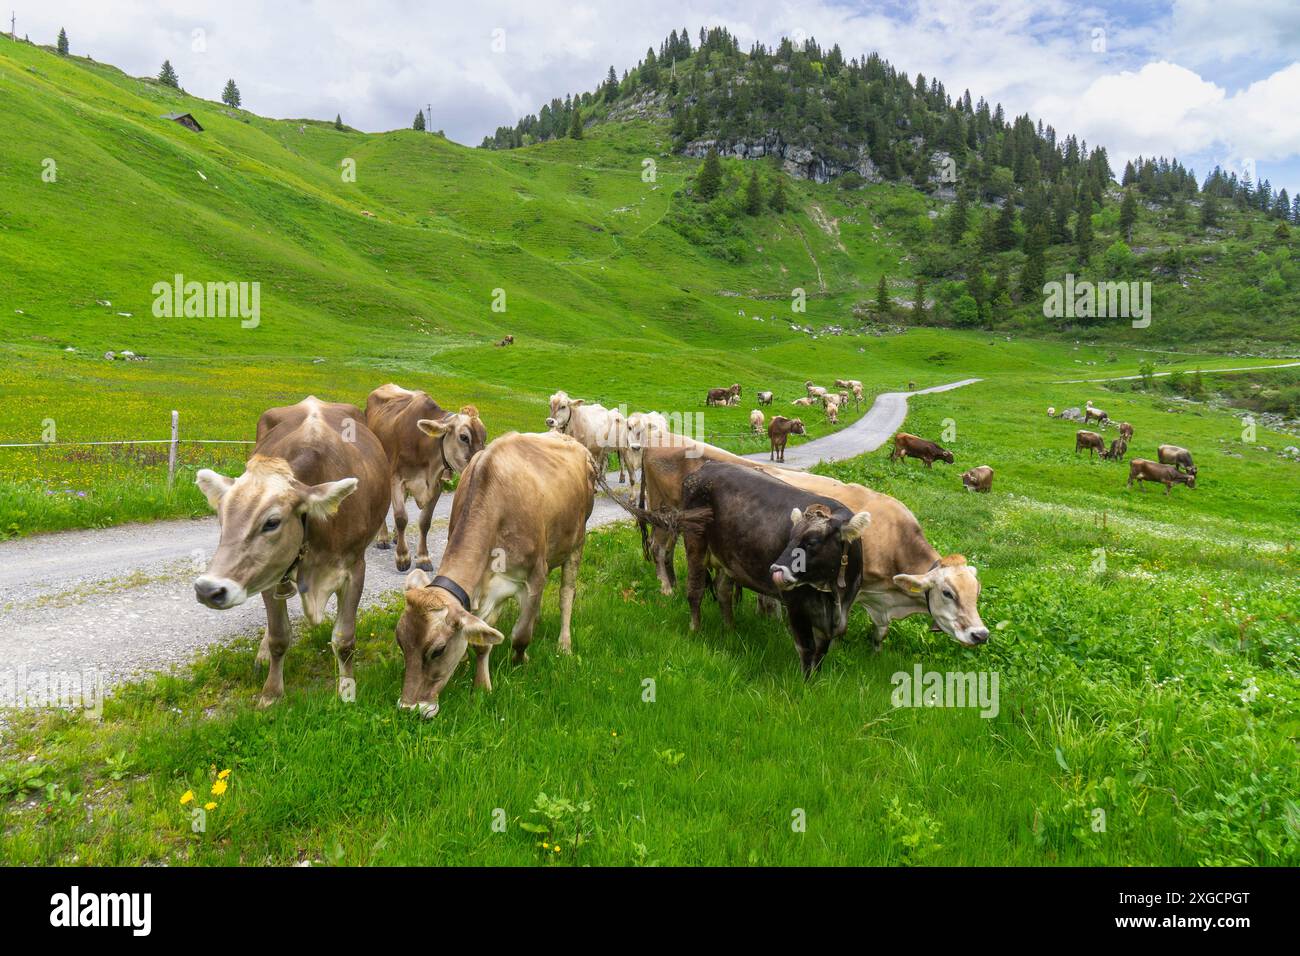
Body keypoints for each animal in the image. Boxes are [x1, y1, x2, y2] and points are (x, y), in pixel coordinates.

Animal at [193, 397, 389, 707]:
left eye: (272, 522)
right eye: (222, 518)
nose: (208, 590)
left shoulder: (355, 568)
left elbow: (344, 639)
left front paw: (347, 691)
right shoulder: (268, 572)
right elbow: (279, 637)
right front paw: (271, 693)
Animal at [365, 384, 486, 573]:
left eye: (484, 437)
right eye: (464, 437)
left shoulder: (436, 485)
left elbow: (425, 522)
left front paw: (423, 558)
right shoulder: (396, 478)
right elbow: (401, 517)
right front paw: (403, 558)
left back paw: (395, 537)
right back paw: (383, 538)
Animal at [395, 431, 595, 718]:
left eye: (438, 650)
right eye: (401, 642)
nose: (409, 708)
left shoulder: (534, 576)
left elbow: (520, 635)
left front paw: (520, 660)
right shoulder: (489, 587)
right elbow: (483, 640)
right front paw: (482, 685)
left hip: (576, 543)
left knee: (566, 594)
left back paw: (564, 645)